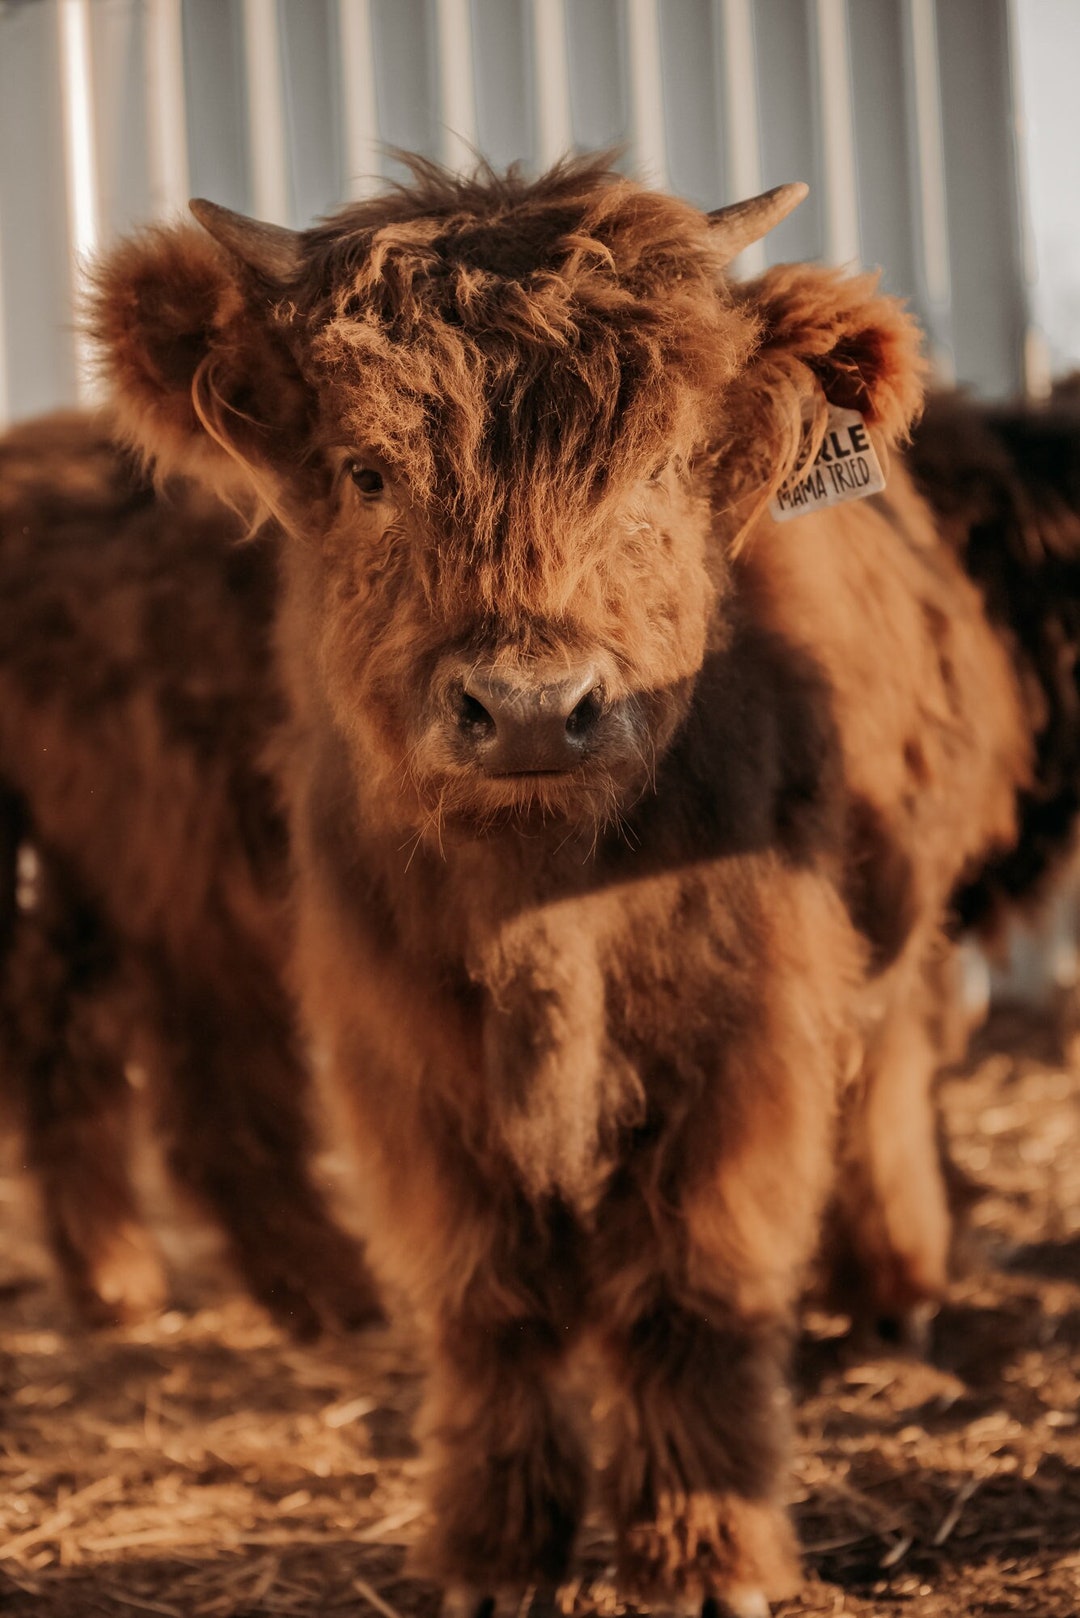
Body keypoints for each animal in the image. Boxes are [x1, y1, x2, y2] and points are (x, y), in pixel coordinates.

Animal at [0, 412, 382, 1336]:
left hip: (106, 847)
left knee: (60, 1019)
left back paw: (110, 1272)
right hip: (185, 845)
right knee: (211, 1069)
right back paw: (321, 1283)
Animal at [84, 154, 1035, 1613]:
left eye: (657, 469)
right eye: (368, 470)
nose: (531, 707)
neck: (546, 895)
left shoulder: (742, 1030)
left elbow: (691, 1287)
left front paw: (705, 1552)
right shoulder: (401, 1054)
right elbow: (492, 1303)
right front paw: (494, 1548)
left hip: (897, 923)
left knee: (883, 1085)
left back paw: (888, 1297)